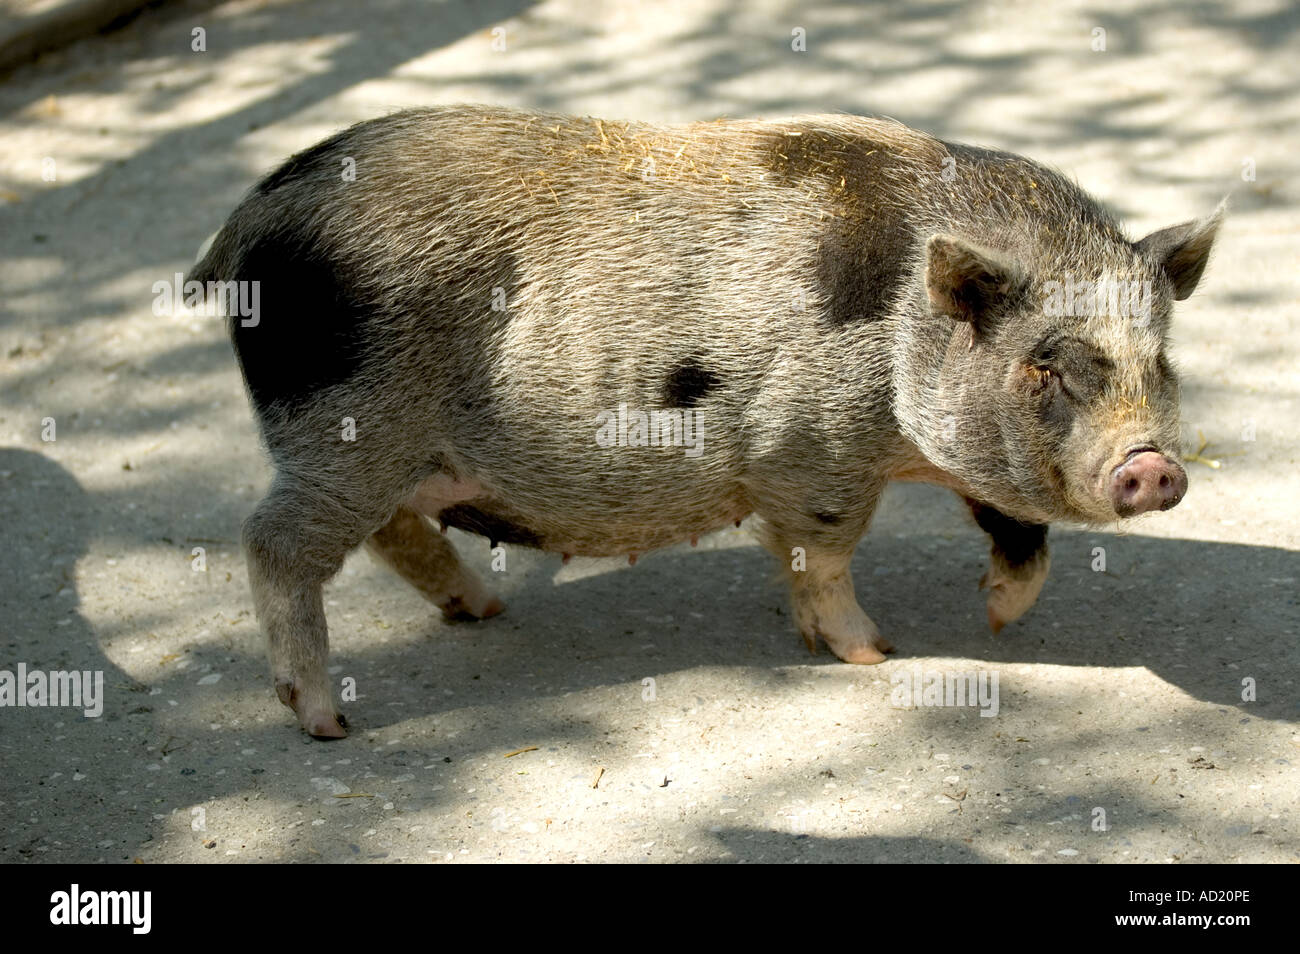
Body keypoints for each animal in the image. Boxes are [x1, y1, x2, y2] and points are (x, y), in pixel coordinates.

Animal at [189, 106, 1222, 737]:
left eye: (1160, 359)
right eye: (1047, 364)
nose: (1152, 466)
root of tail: (240, 229)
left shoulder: (955, 462)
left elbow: (1018, 527)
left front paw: (999, 620)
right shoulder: (811, 452)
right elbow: (824, 555)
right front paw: (874, 652)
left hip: (383, 453)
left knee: (391, 533)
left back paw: (482, 611)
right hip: (344, 432)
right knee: (272, 543)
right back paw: (328, 721)